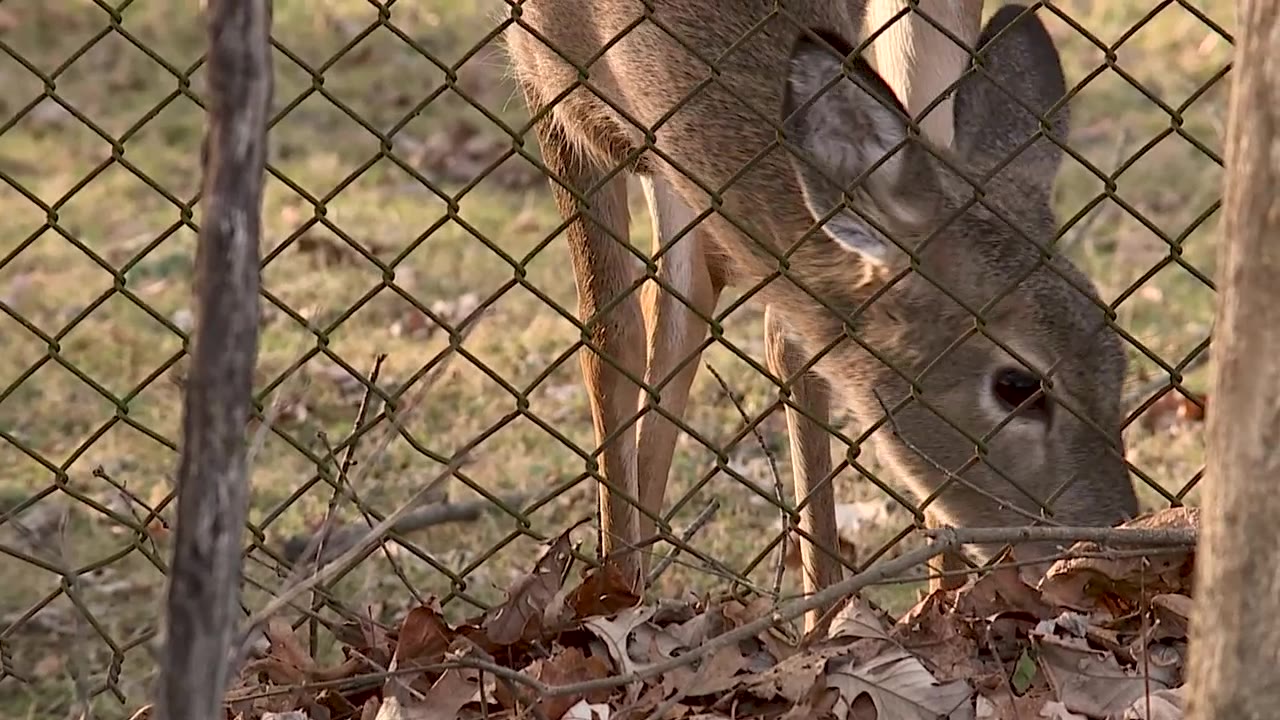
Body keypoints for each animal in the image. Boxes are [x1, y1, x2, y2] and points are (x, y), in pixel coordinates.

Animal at [504, 0, 1139, 629]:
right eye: (1018, 386)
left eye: (1118, 359)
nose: (1109, 555)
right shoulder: (542, 63)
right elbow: (613, 334)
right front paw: (611, 599)